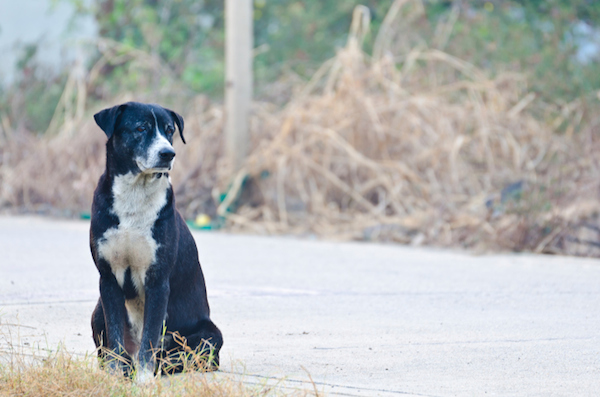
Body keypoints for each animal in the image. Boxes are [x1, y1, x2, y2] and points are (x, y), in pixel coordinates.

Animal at [88, 100, 221, 378]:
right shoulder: (108, 278)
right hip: (97, 311)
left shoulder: (158, 280)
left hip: (210, 335)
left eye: (170, 130)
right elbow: (115, 337)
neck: (135, 196)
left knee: (184, 356)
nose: (168, 153)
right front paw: (116, 376)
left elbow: (150, 336)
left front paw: (144, 379)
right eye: (141, 128)